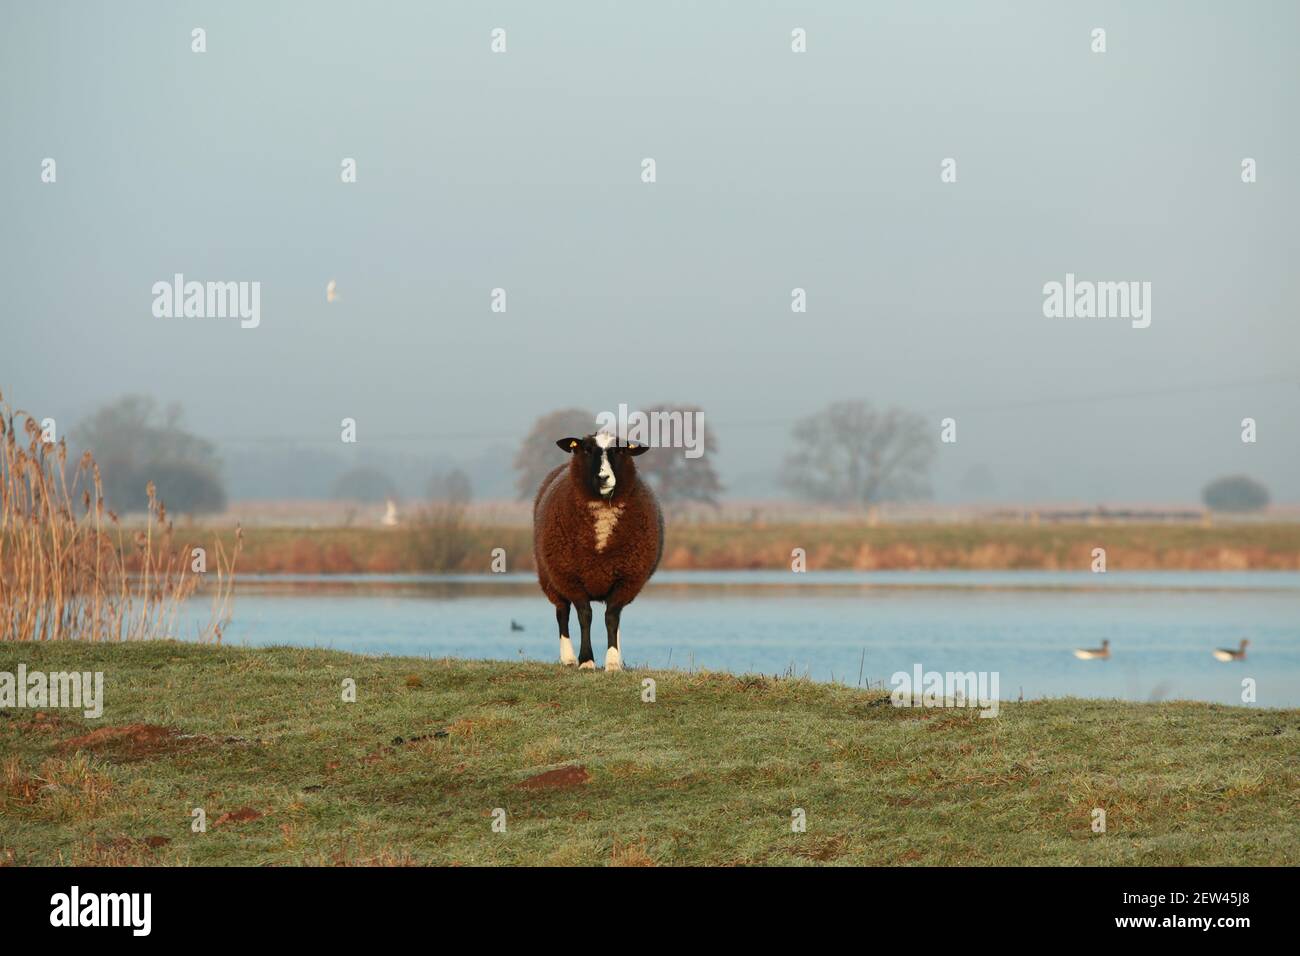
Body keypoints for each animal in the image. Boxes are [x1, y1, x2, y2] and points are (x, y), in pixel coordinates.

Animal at [533, 431, 664, 671]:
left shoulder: (627, 579)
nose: (603, 477)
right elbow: (585, 616)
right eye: (586, 449)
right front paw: (586, 660)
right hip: (551, 577)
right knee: (562, 613)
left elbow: (611, 618)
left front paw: (612, 662)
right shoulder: (571, 578)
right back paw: (568, 658)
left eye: (621, 450)